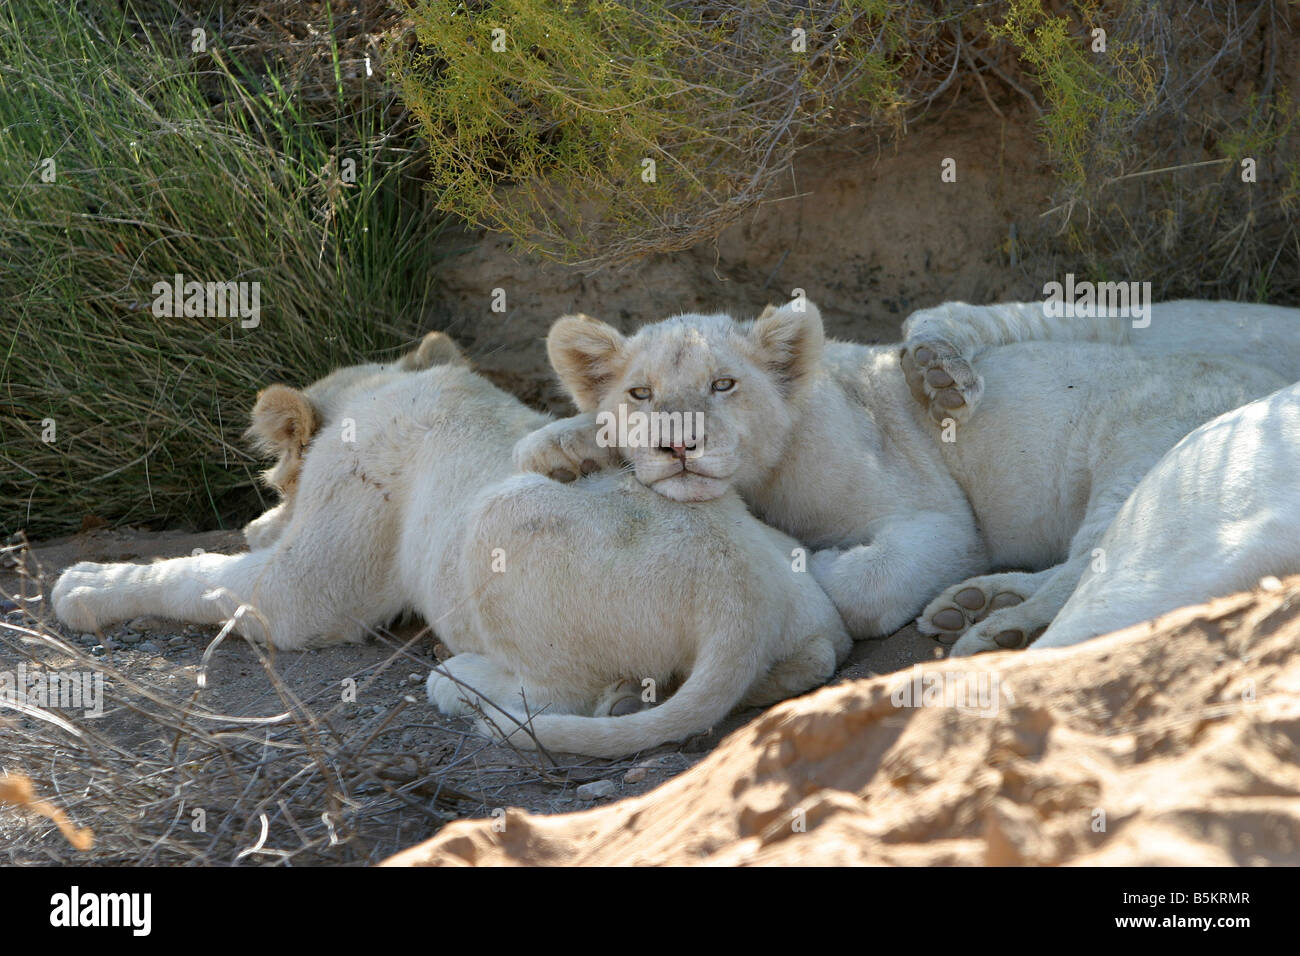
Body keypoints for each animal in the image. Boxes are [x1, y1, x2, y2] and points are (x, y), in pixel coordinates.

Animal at [51, 335, 848, 758]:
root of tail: (741, 601)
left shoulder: (311, 585)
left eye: (279, 479)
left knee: (558, 693)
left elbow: (199, 577)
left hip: (502, 513)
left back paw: (458, 680)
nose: (259, 519)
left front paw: (85, 583)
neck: (379, 387)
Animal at [515, 299, 1299, 655]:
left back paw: (995, 628)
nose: (677, 445)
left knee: (1096, 565)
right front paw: (559, 449)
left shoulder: (941, 520)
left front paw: (807, 559)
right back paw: (976, 605)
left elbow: (864, 586)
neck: (765, 475)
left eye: (723, 385)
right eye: (641, 394)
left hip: (1139, 452)